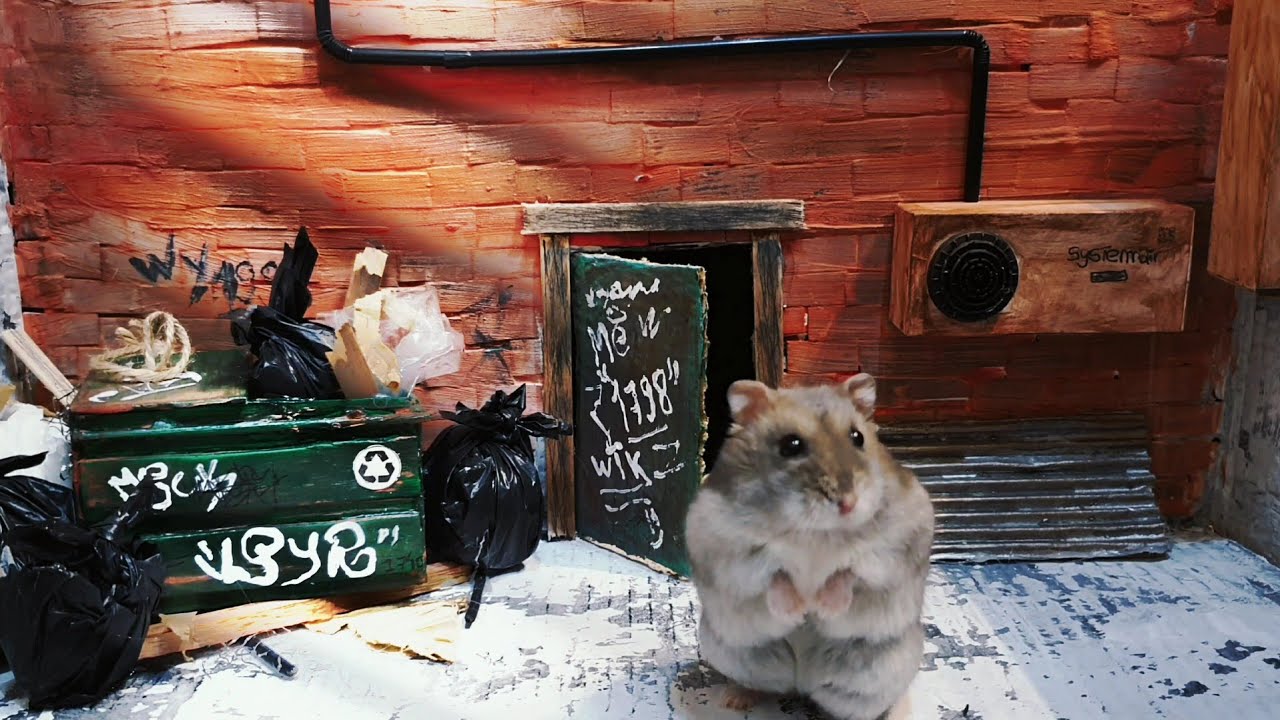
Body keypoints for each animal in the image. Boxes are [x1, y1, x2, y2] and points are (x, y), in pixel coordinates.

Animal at [684, 373, 934, 720]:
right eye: (791, 445)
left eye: (858, 437)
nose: (849, 503)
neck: (815, 530)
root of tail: (802, 682)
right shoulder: (727, 545)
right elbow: (774, 574)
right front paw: (801, 610)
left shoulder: (893, 545)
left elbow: (850, 570)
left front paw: (819, 607)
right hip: (730, 651)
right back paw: (734, 699)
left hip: (879, 673)